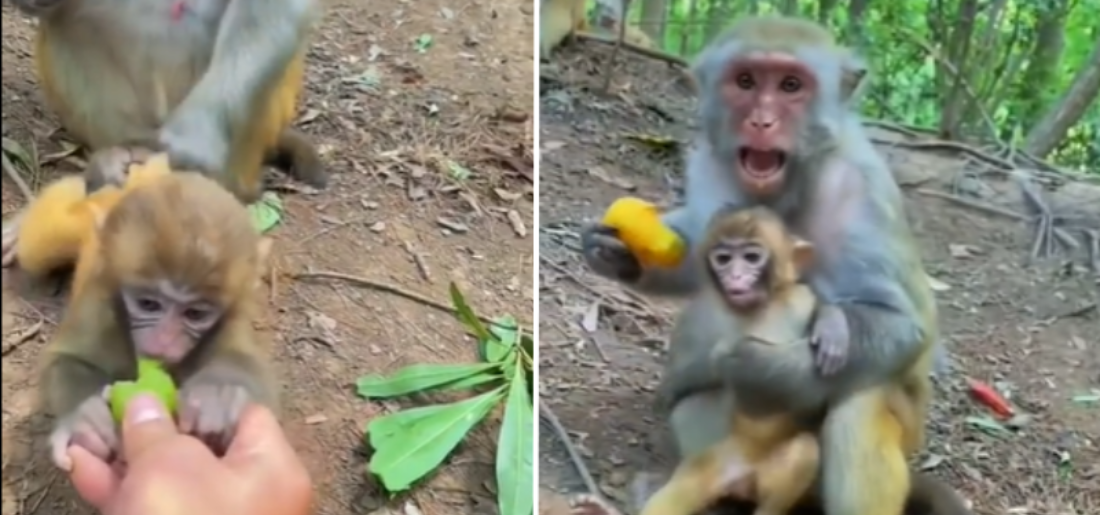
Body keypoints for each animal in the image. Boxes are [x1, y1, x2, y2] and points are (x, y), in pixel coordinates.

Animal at [40, 167, 276, 471]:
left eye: (195, 314)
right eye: (148, 304)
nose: (164, 341)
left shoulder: (230, 320)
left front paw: (218, 392)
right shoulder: (100, 307)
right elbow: (65, 359)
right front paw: (84, 415)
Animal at [579, 15, 942, 515]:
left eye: (791, 86)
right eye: (746, 81)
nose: (762, 120)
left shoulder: (860, 190)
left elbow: (901, 324)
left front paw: (761, 367)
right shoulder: (709, 166)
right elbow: (696, 256)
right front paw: (617, 253)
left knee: (861, 401)